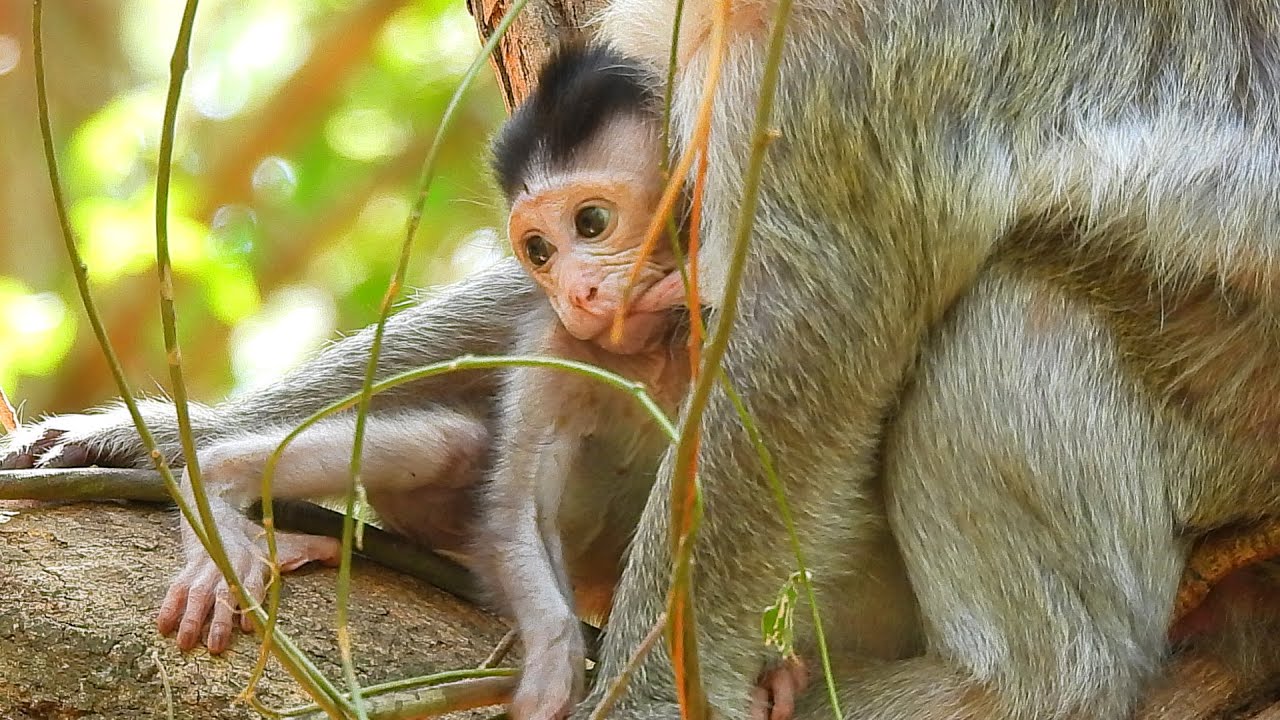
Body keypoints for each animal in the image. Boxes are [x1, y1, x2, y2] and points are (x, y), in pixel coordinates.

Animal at [7, 2, 1280, 720]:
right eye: (546, 241)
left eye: (591, 226)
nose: (583, 283)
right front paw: (149, 435)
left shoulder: (884, 42)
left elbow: (814, 317)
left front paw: (649, 697)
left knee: (1018, 301)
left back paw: (997, 688)